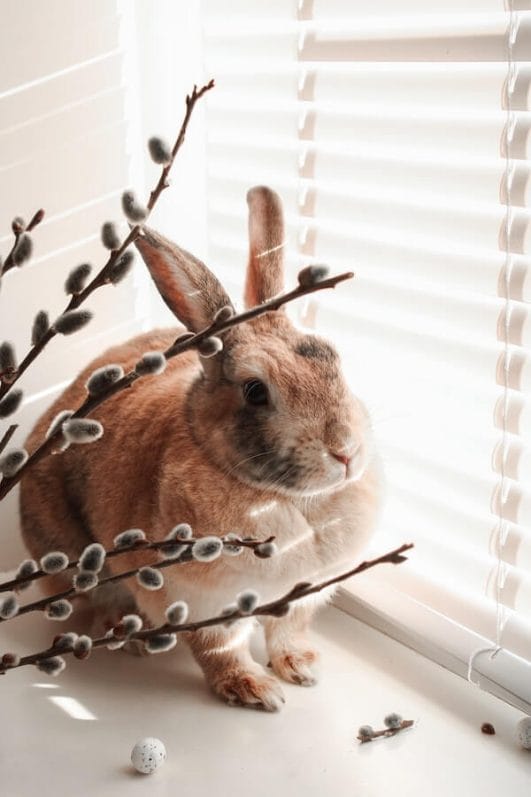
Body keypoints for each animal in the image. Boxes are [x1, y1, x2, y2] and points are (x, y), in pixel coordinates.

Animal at [20, 185, 382, 711]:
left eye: (332, 358)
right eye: (255, 391)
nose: (346, 452)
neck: (290, 500)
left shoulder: (299, 598)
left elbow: (287, 632)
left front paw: (301, 668)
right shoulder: (198, 601)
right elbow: (219, 649)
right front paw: (256, 691)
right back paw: (124, 635)